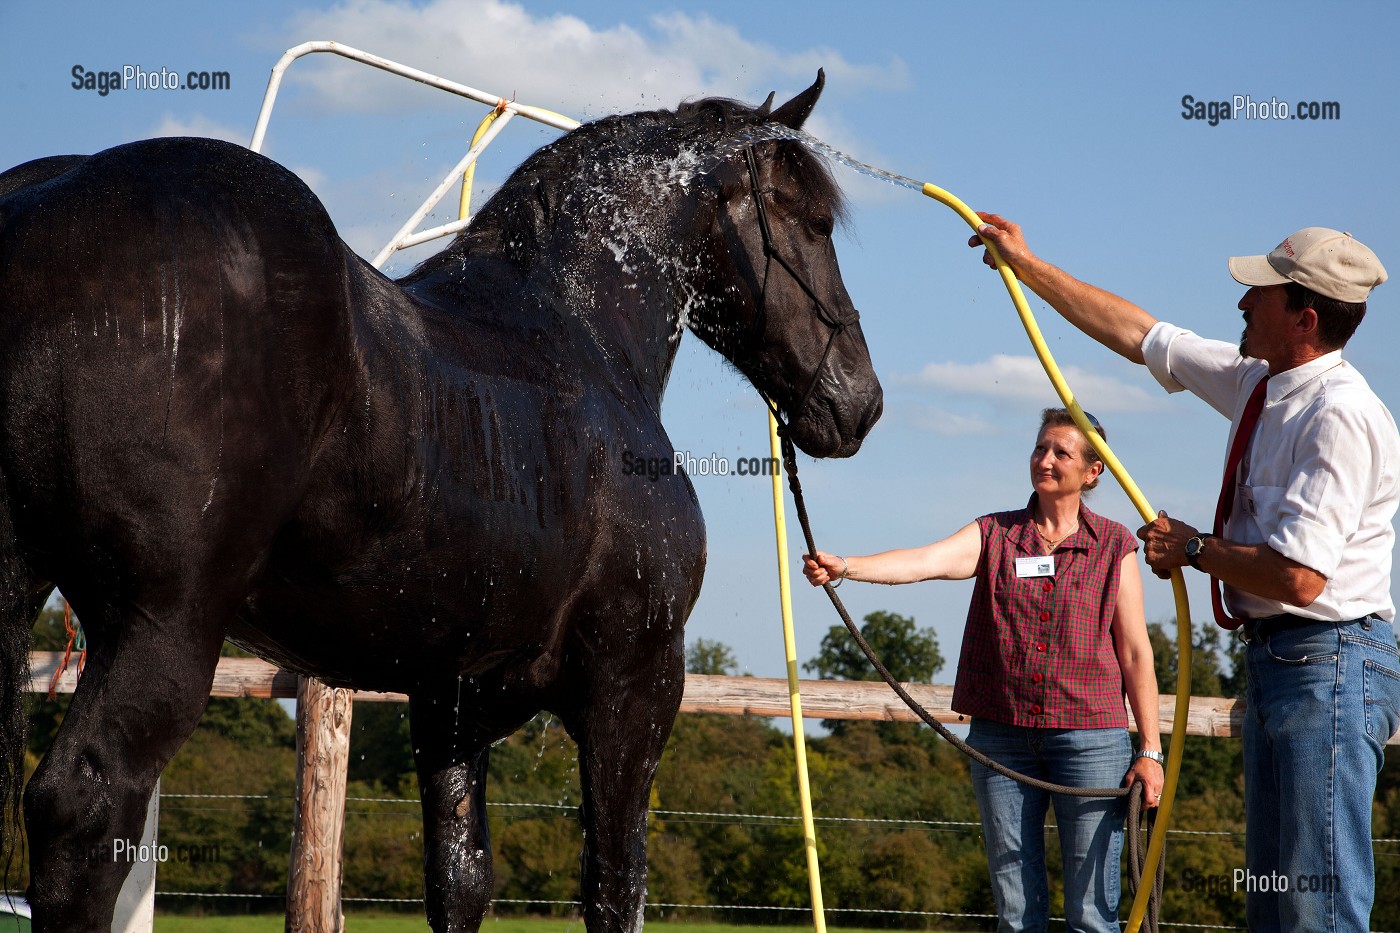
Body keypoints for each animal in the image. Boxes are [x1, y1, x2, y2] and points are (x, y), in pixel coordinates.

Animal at [0, 72, 881, 932]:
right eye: (812, 220)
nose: (860, 401)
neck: (583, 339)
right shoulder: (636, 683)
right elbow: (613, 885)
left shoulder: (450, 704)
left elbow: (460, 883)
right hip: (160, 622)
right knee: (82, 805)